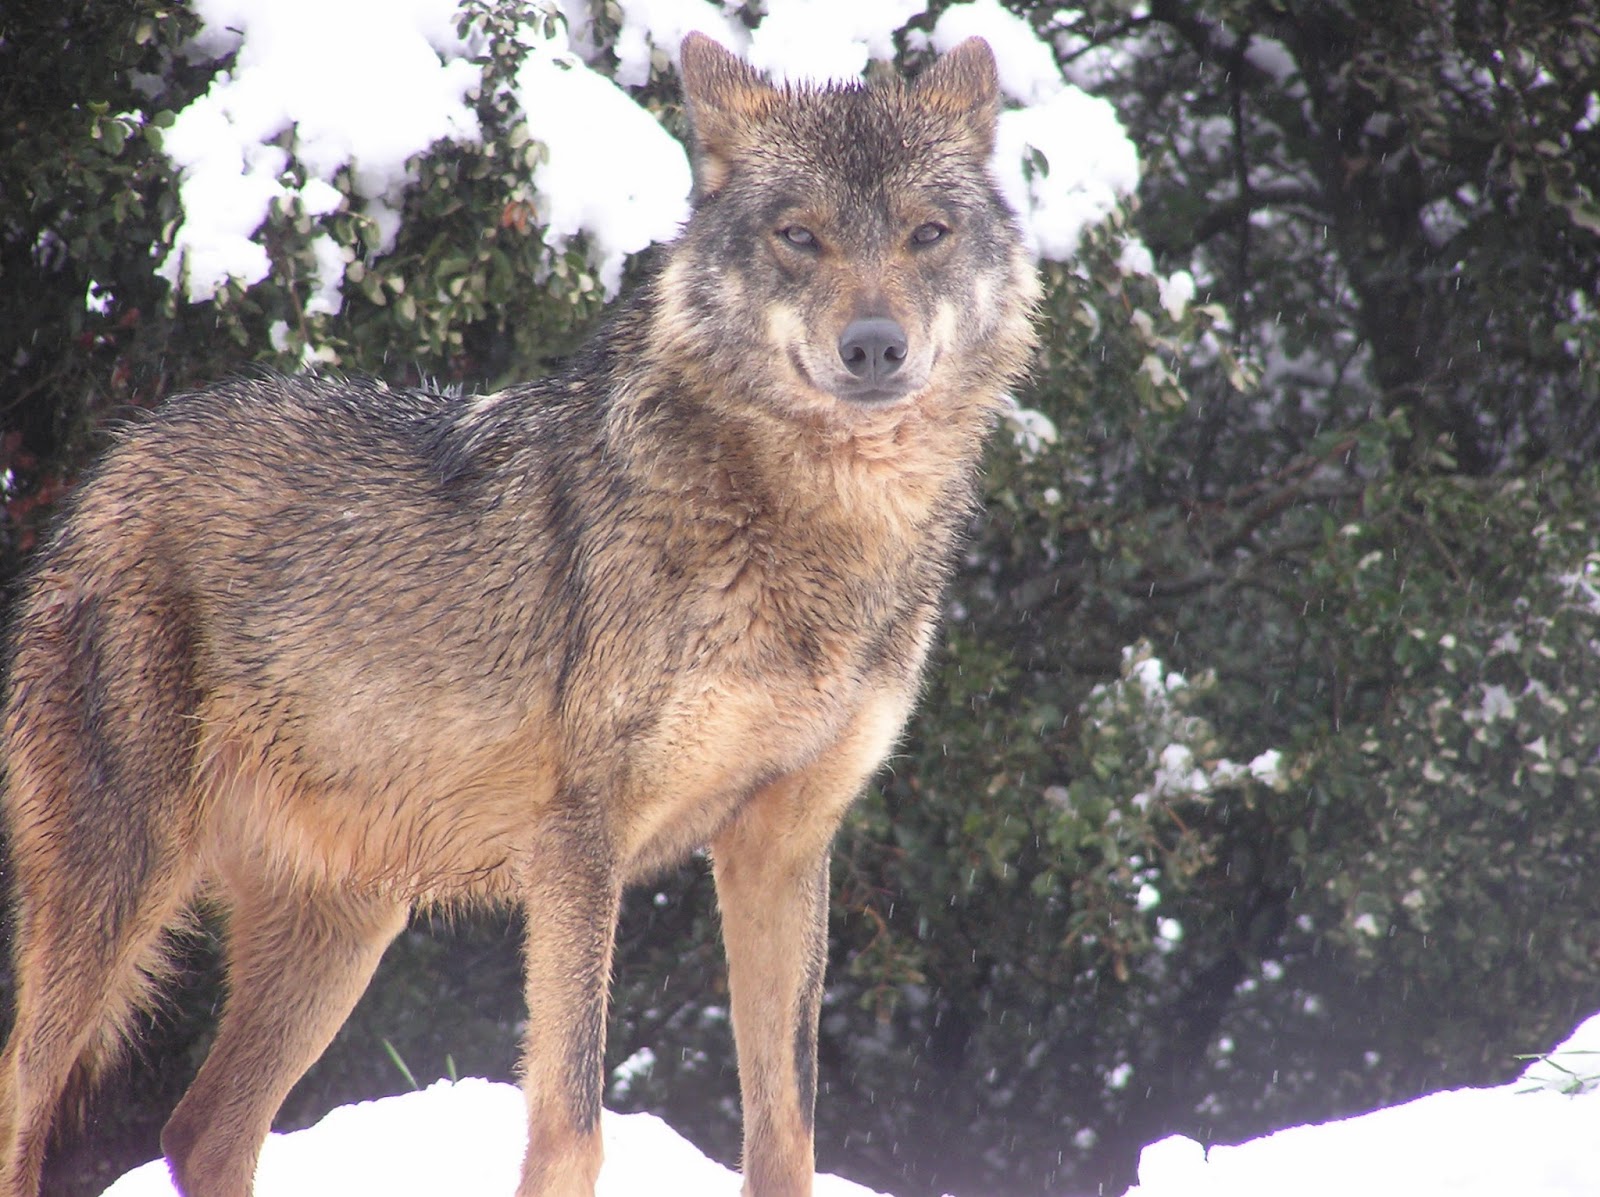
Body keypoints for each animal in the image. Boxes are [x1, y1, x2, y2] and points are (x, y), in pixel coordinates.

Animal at [0, 31, 1037, 1197]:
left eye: (926, 234)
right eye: (800, 236)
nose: (873, 346)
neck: (817, 531)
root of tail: (112, 468)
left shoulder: (782, 843)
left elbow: (787, 1131)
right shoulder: (580, 842)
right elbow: (570, 1120)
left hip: (347, 930)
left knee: (201, 1130)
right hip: (118, 892)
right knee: (25, 1098)